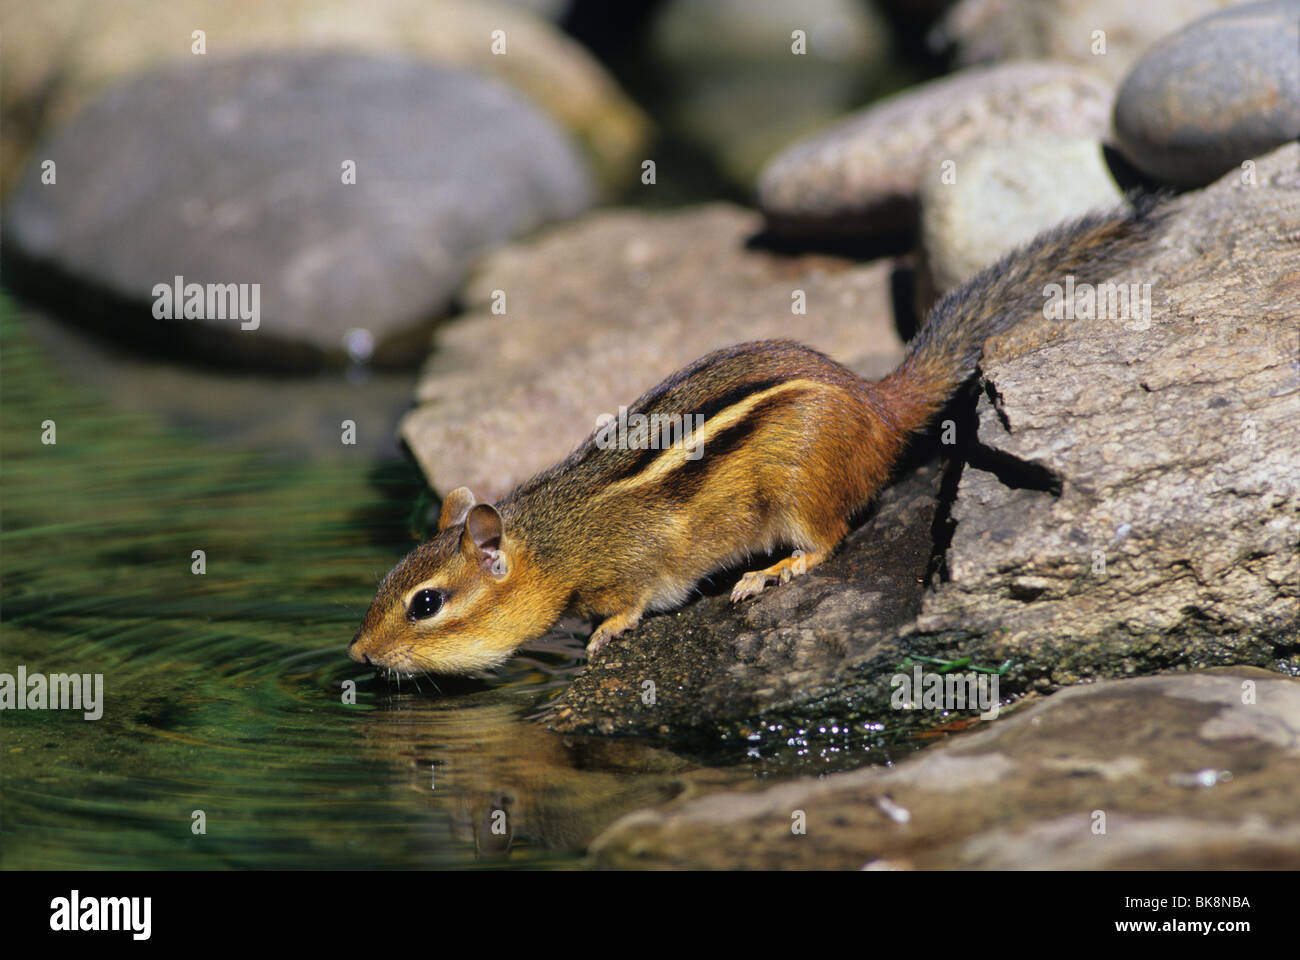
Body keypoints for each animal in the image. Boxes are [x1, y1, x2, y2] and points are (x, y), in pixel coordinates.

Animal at [349, 199, 1168, 676]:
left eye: (425, 604)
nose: (357, 650)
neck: (557, 540)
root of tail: (876, 402)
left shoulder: (632, 565)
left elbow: (631, 604)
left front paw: (605, 634)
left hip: (801, 486)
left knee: (829, 540)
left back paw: (773, 571)